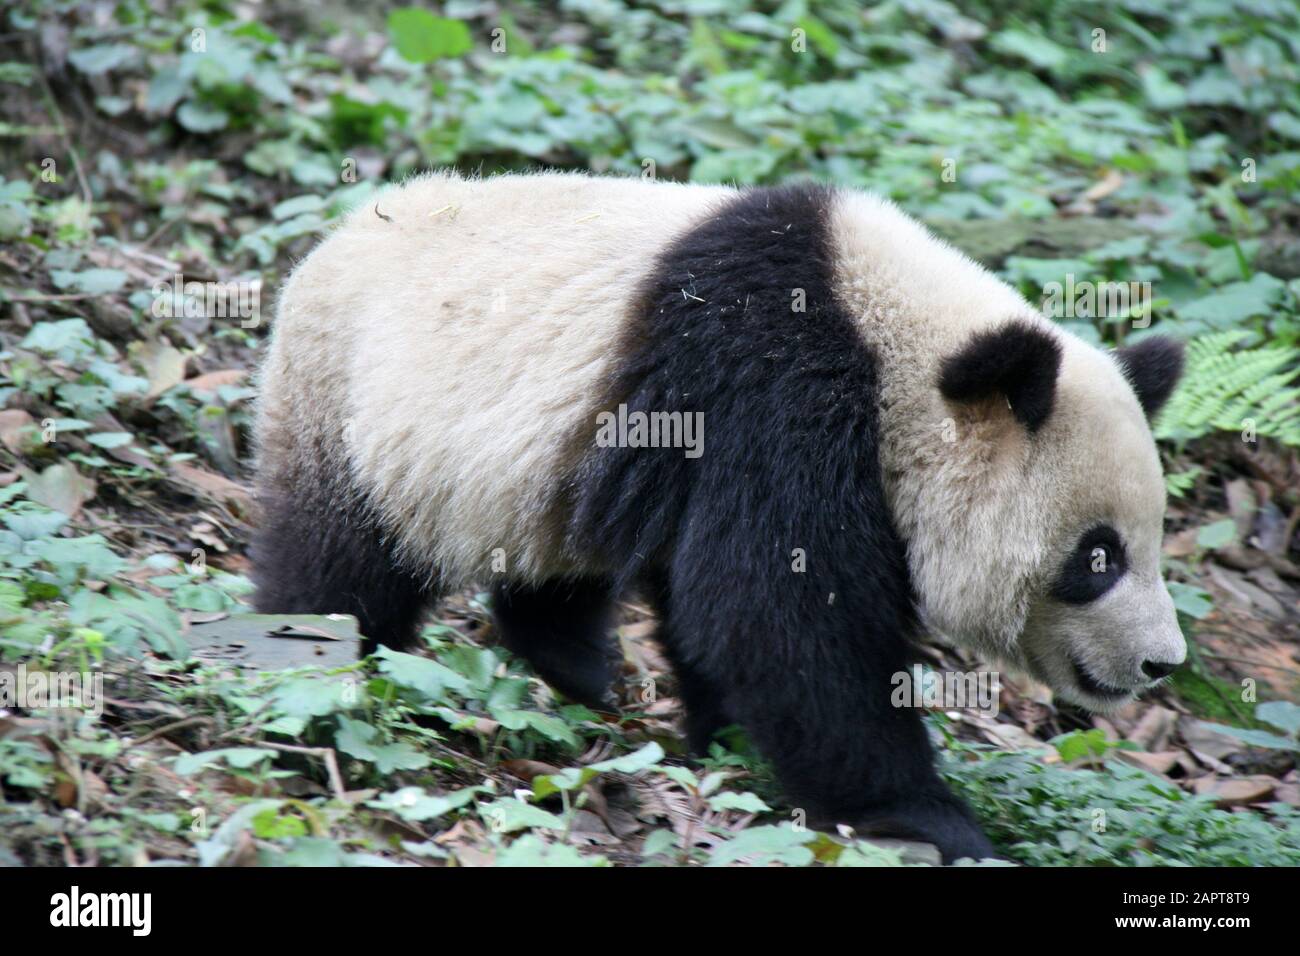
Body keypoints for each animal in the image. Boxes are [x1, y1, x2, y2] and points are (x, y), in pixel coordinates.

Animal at [252, 171, 1187, 862]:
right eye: (1097, 558)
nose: (1160, 664)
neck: (902, 348)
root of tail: (328, 242)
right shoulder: (779, 384)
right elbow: (776, 619)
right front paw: (932, 820)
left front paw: (724, 743)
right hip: (350, 402)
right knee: (338, 566)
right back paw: (314, 668)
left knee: (557, 557)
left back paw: (576, 666)